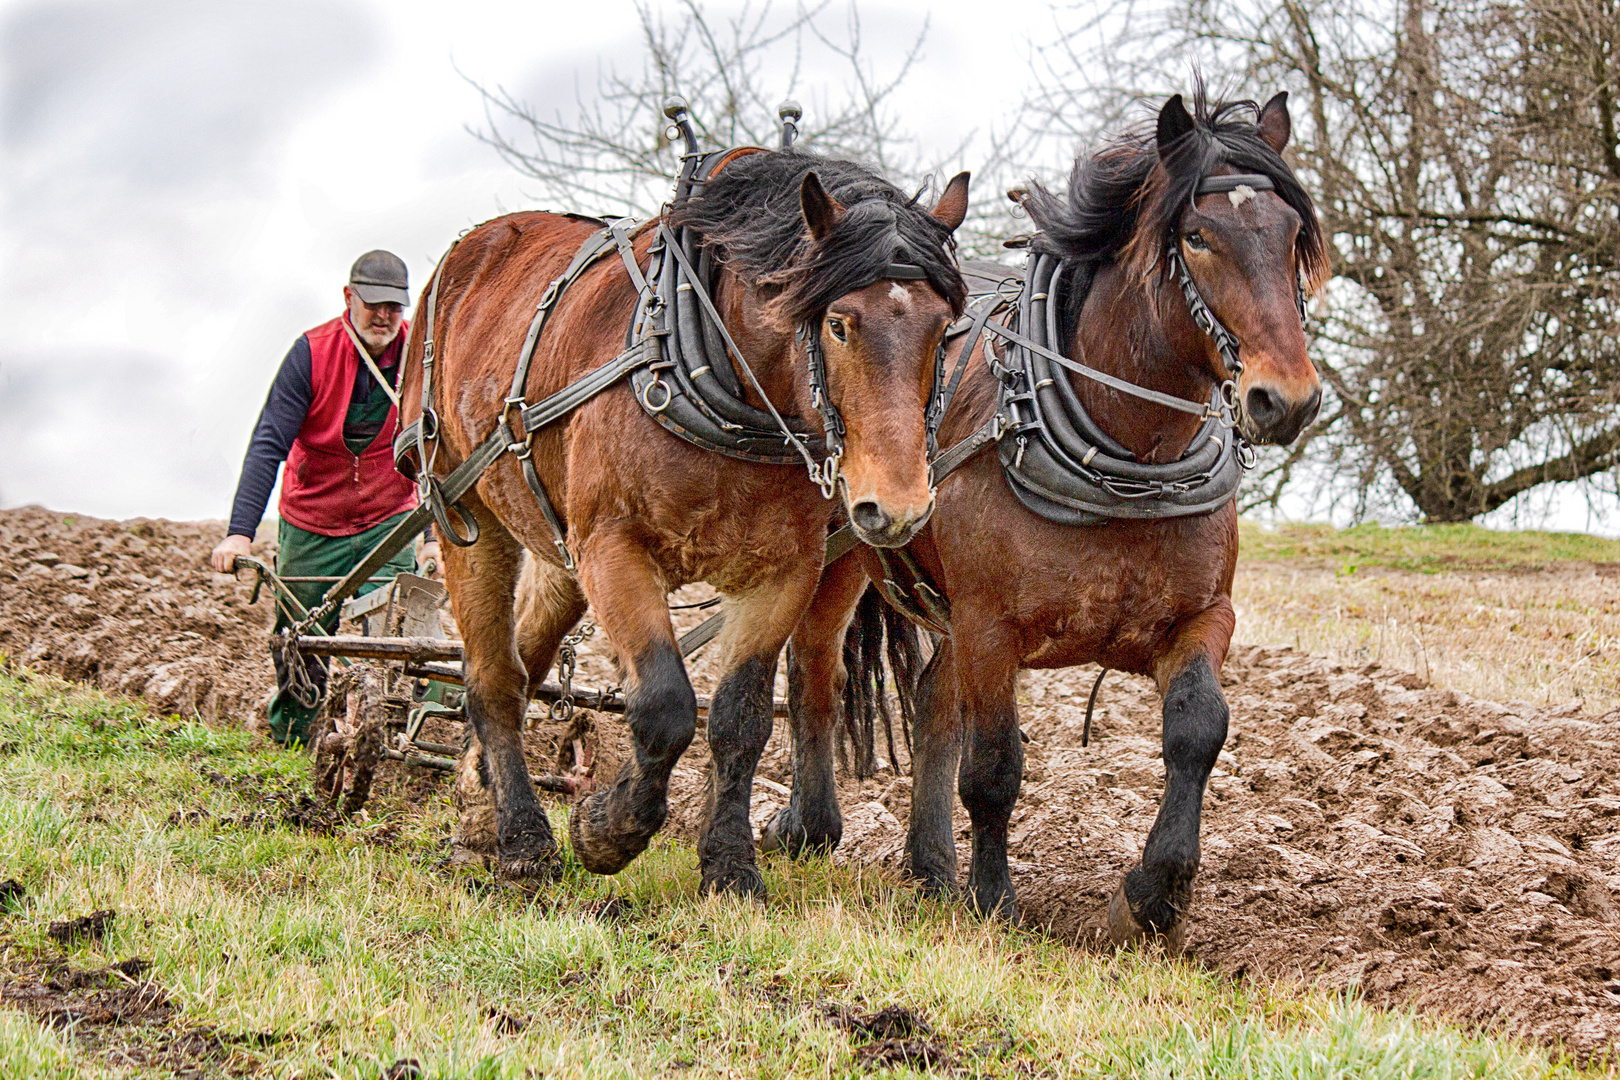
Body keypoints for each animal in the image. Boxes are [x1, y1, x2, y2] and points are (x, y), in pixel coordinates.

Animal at [396, 149, 965, 893]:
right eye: (839, 323)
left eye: (942, 329)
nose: (898, 508)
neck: (713, 369)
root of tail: (474, 245)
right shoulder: (613, 549)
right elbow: (665, 706)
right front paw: (604, 831)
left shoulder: (784, 573)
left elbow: (739, 718)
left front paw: (729, 866)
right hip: (465, 511)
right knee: (493, 677)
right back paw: (522, 839)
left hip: (557, 547)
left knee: (526, 659)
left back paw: (475, 806)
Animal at [771, 88, 1328, 939]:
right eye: (1198, 236)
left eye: (1295, 235)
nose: (1286, 398)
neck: (1128, 463)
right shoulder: (991, 625)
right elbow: (995, 766)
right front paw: (994, 899)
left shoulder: (1203, 615)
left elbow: (1198, 728)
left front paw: (1154, 892)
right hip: (844, 554)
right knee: (815, 671)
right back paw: (807, 828)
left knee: (931, 700)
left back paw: (929, 866)